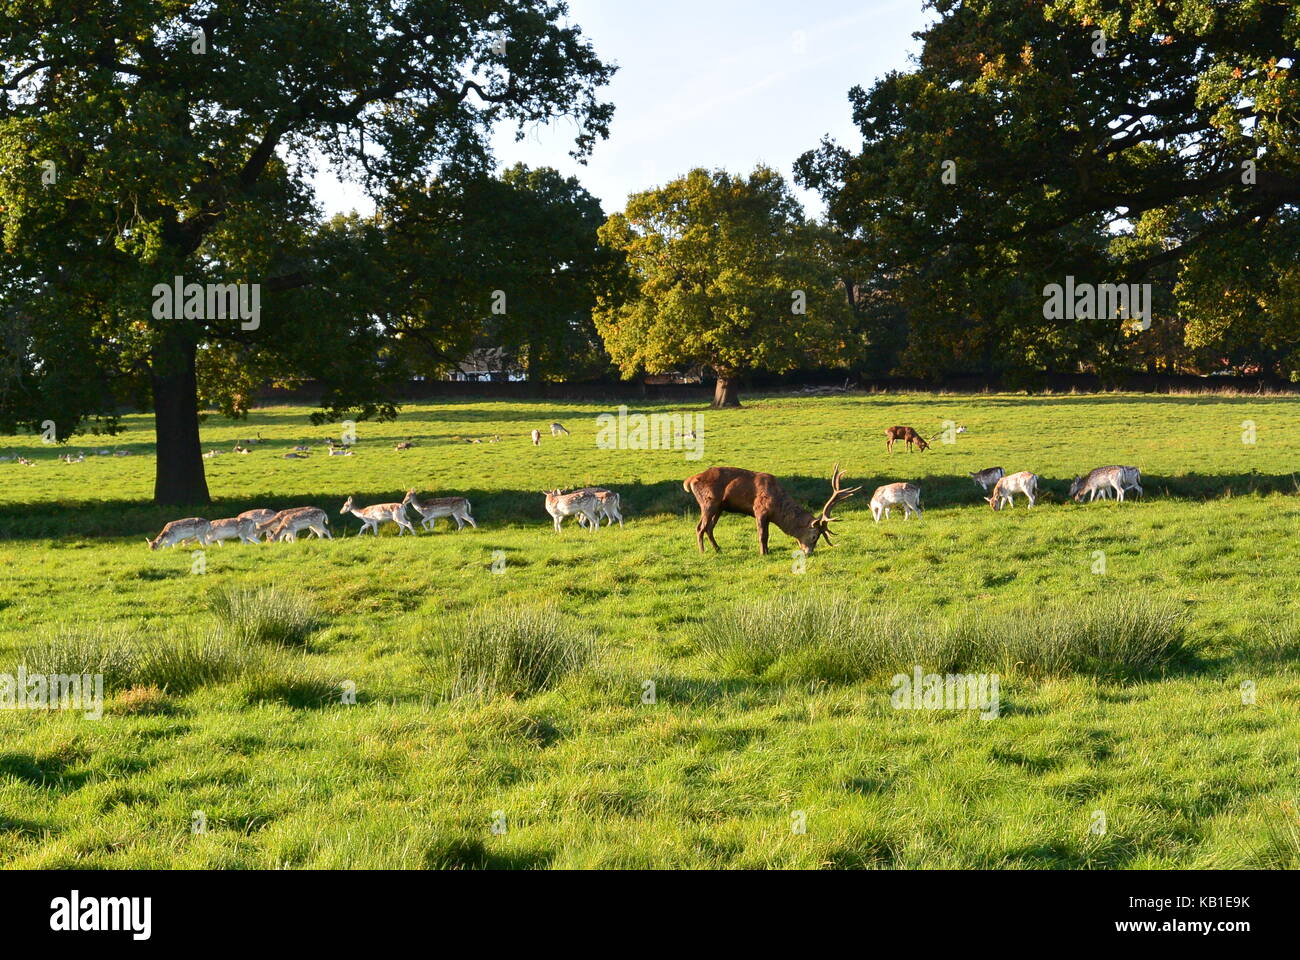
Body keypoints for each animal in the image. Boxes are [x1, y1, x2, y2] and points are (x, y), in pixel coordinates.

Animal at [683, 463, 861, 555]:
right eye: (814, 536)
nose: (808, 552)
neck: (778, 509)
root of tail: (689, 480)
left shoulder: (767, 516)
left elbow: (767, 535)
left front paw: (767, 550)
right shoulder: (759, 510)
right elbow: (762, 535)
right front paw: (763, 553)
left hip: (720, 507)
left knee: (709, 528)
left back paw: (718, 549)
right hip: (709, 502)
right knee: (700, 527)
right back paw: (703, 551)